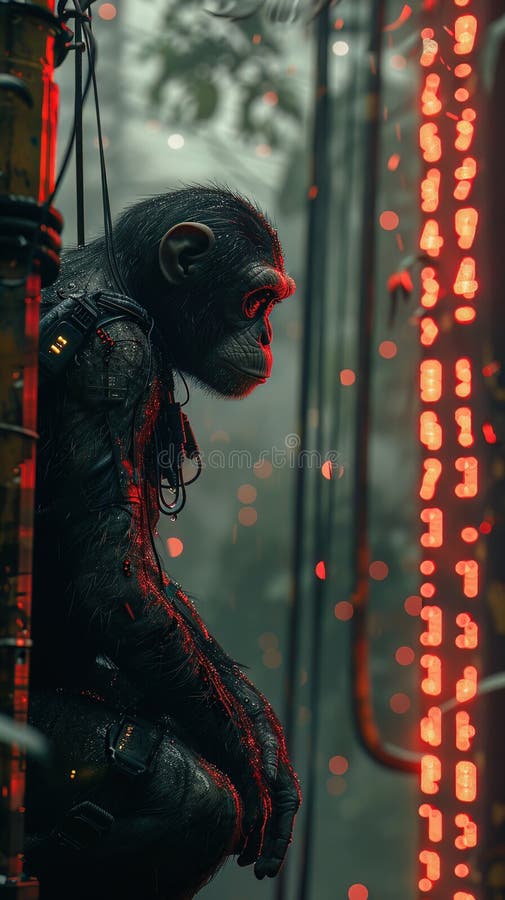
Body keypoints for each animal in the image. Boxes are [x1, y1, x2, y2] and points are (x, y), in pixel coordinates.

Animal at [26, 187, 300, 900]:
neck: (126, 283)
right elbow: (116, 582)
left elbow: (149, 582)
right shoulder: (113, 357)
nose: (267, 336)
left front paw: (266, 749)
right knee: (190, 800)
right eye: (256, 301)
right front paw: (252, 773)